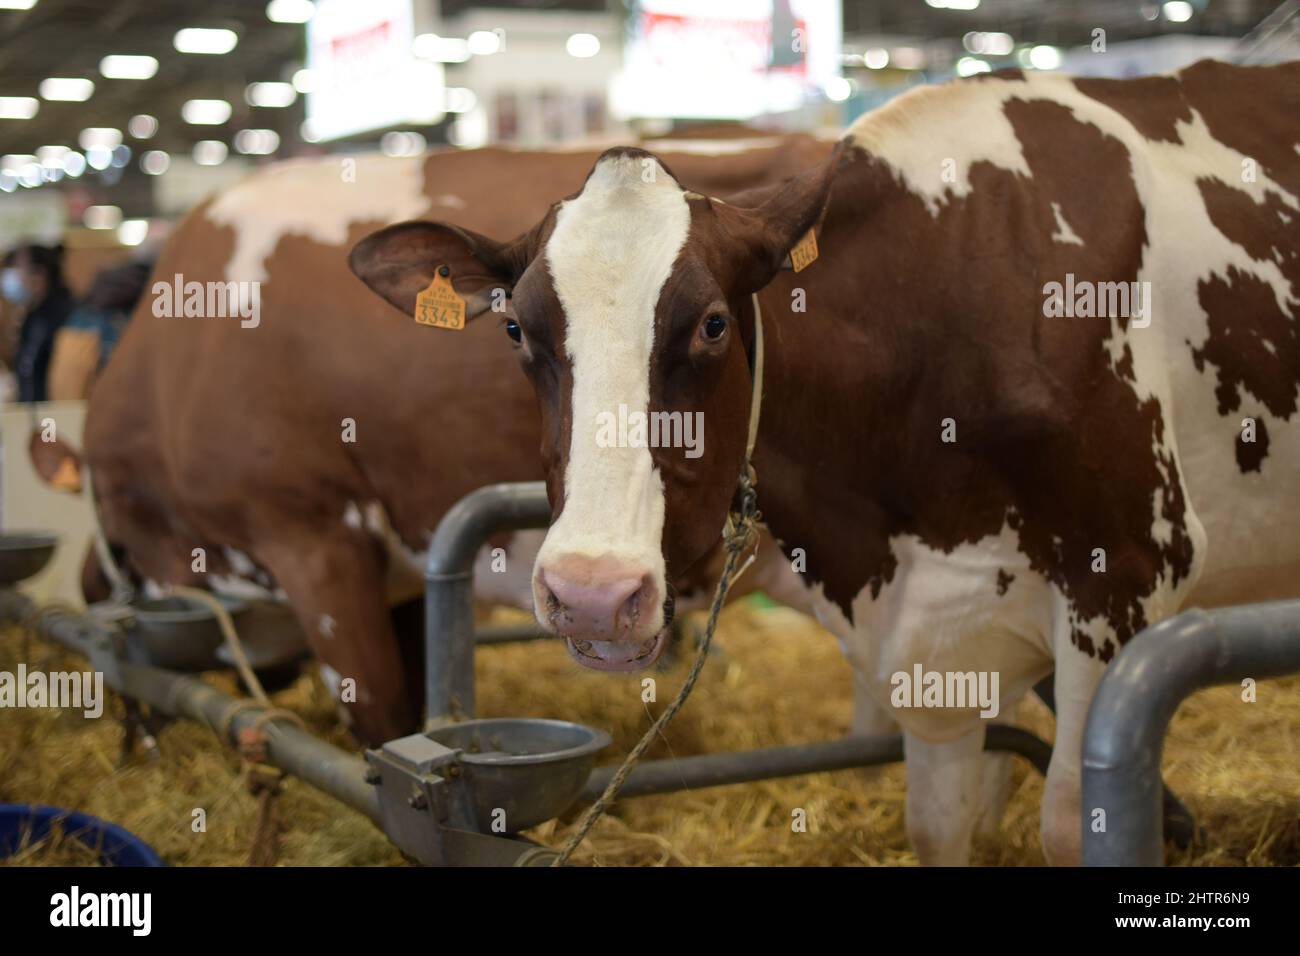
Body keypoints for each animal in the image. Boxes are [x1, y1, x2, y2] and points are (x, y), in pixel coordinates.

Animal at [351, 59, 1300, 864]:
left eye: (713, 324)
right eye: (516, 328)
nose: (591, 594)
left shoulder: (1131, 573)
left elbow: (1069, 824)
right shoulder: (928, 630)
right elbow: (936, 826)